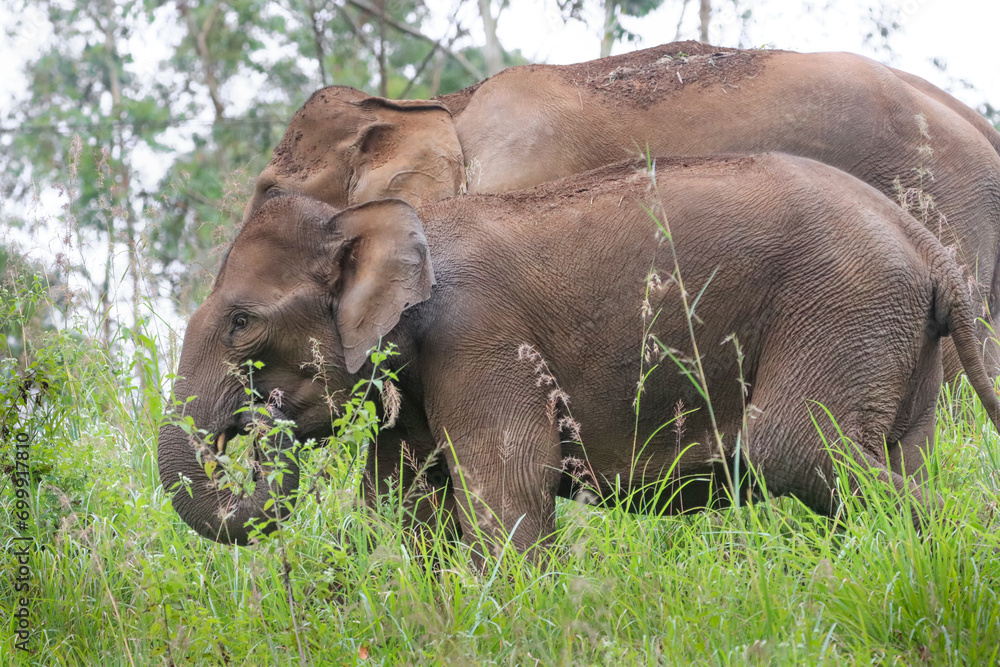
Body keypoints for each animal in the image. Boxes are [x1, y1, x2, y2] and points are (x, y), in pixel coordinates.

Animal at [160, 153, 1000, 552]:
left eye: (241, 322)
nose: (263, 429)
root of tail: (928, 246)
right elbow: (406, 506)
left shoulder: (479, 342)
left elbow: (505, 488)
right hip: (889, 338)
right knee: (892, 456)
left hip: (843, 307)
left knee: (794, 445)